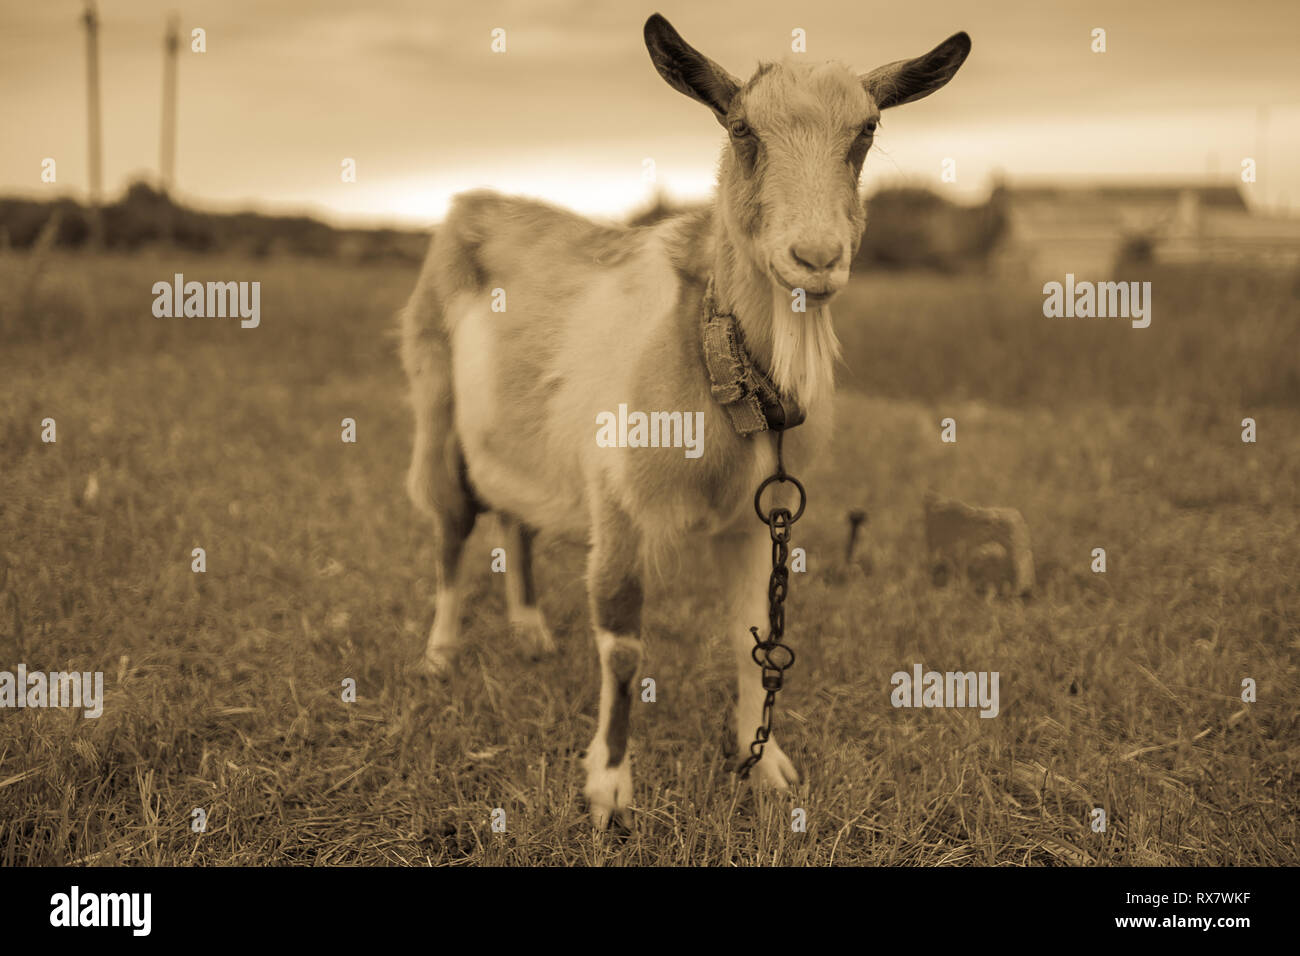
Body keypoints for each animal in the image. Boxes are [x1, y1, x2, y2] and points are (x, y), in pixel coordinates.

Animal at [400, 13, 970, 829]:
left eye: (866, 129)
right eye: (741, 128)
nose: (816, 257)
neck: (713, 361)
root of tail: (469, 204)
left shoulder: (754, 523)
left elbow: (750, 638)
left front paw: (766, 767)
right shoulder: (617, 501)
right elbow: (623, 645)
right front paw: (608, 788)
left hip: (520, 433)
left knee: (515, 513)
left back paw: (531, 630)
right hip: (435, 400)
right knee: (452, 523)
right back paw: (441, 653)